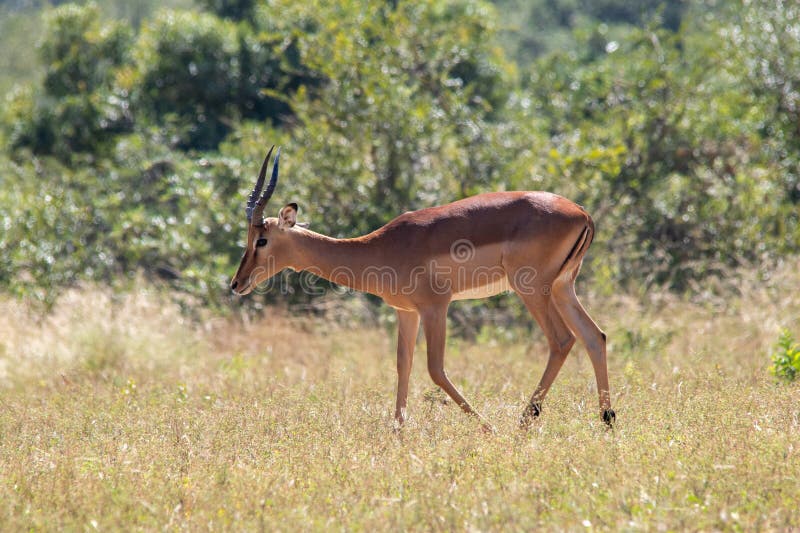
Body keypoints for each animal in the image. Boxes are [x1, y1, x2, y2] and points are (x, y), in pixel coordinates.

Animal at [231, 146, 615, 430]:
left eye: (262, 239)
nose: (236, 283)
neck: (381, 247)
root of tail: (581, 213)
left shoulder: (435, 307)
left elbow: (435, 369)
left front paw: (487, 427)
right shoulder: (406, 312)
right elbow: (404, 365)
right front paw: (397, 431)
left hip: (532, 289)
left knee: (561, 340)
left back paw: (523, 421)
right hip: (562, 288)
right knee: (594, 336)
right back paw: (608, 420)